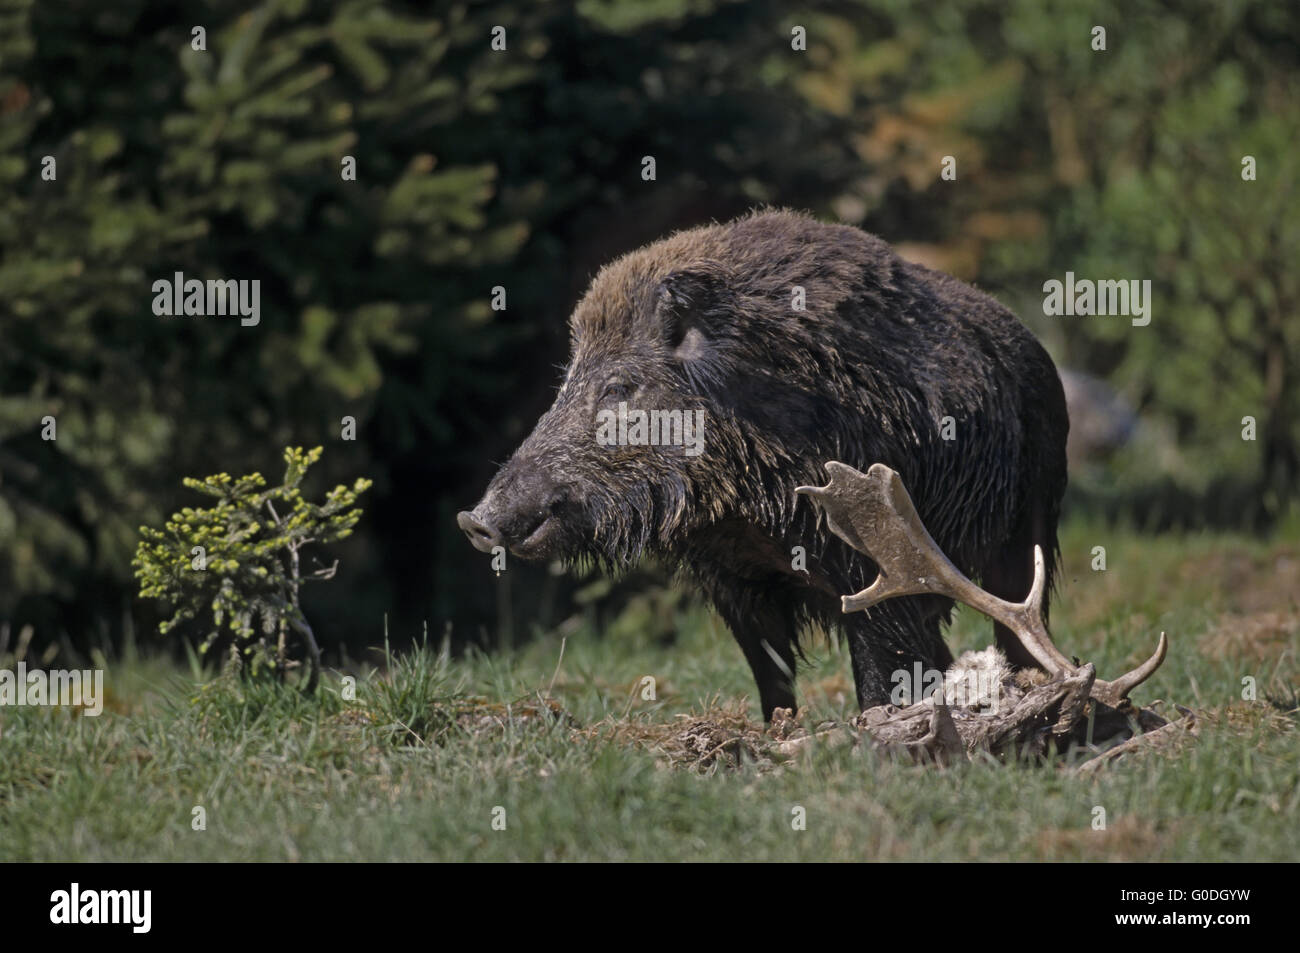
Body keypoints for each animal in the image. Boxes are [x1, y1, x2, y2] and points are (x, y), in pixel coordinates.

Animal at [458, 209, 1069, 721]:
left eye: (617, 387)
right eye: (566, 380)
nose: (474, 520)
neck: (744, 503)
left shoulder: (872, 564)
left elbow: (879, 667)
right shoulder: (733, 578)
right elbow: (771, 677)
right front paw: (775, 732)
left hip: (1032, 520)